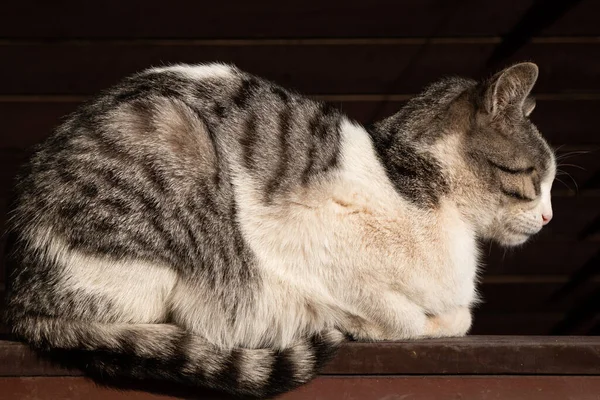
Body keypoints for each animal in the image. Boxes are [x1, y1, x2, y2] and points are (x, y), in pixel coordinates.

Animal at [4, 61, 556, 396]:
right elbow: (416, 317)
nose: (550, 216)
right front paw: (391, 323)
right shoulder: (312, 247)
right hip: (172, 143)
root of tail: (23, 298)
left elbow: (455, 313)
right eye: (534, 177)